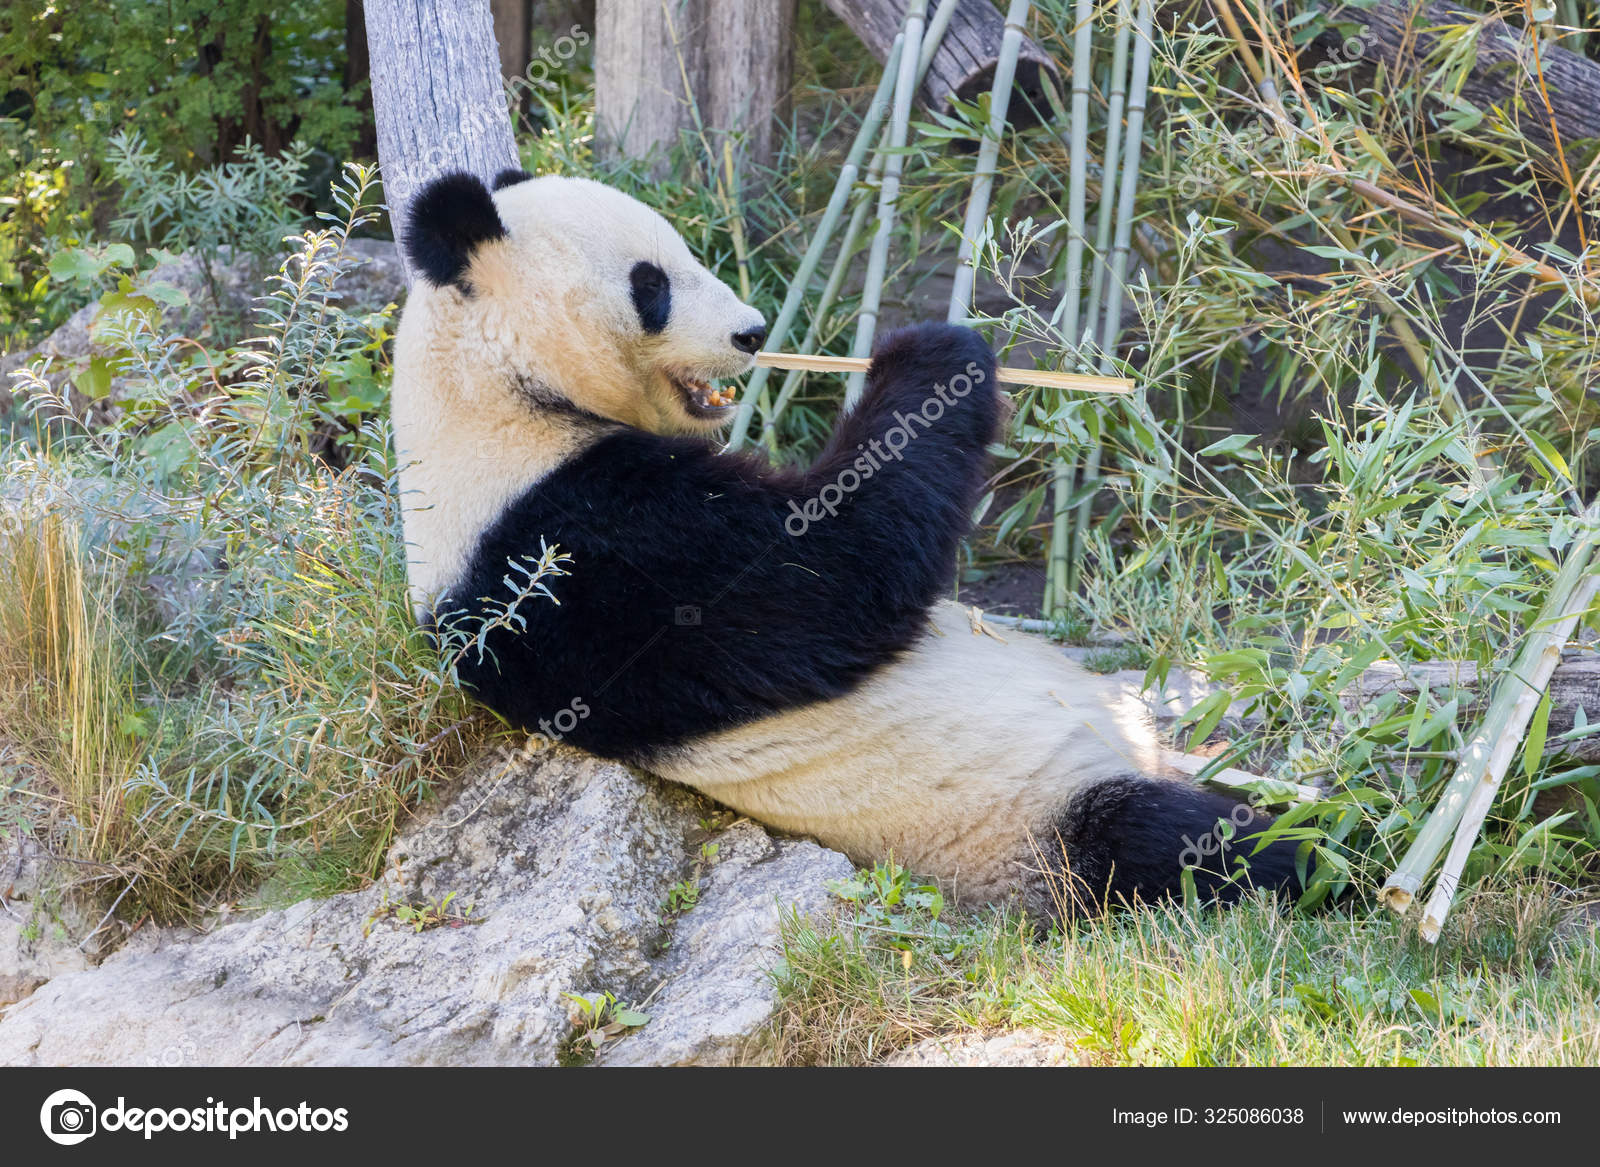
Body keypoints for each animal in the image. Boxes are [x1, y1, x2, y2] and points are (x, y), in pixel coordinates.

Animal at [390, 167, 1303, 920]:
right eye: (651, 284)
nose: (754, 332)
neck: (492, 391)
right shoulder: (567, 550)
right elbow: (828, 576)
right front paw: (937, 355)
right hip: (1025, 822)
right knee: (1183, 846)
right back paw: (1322, 853)